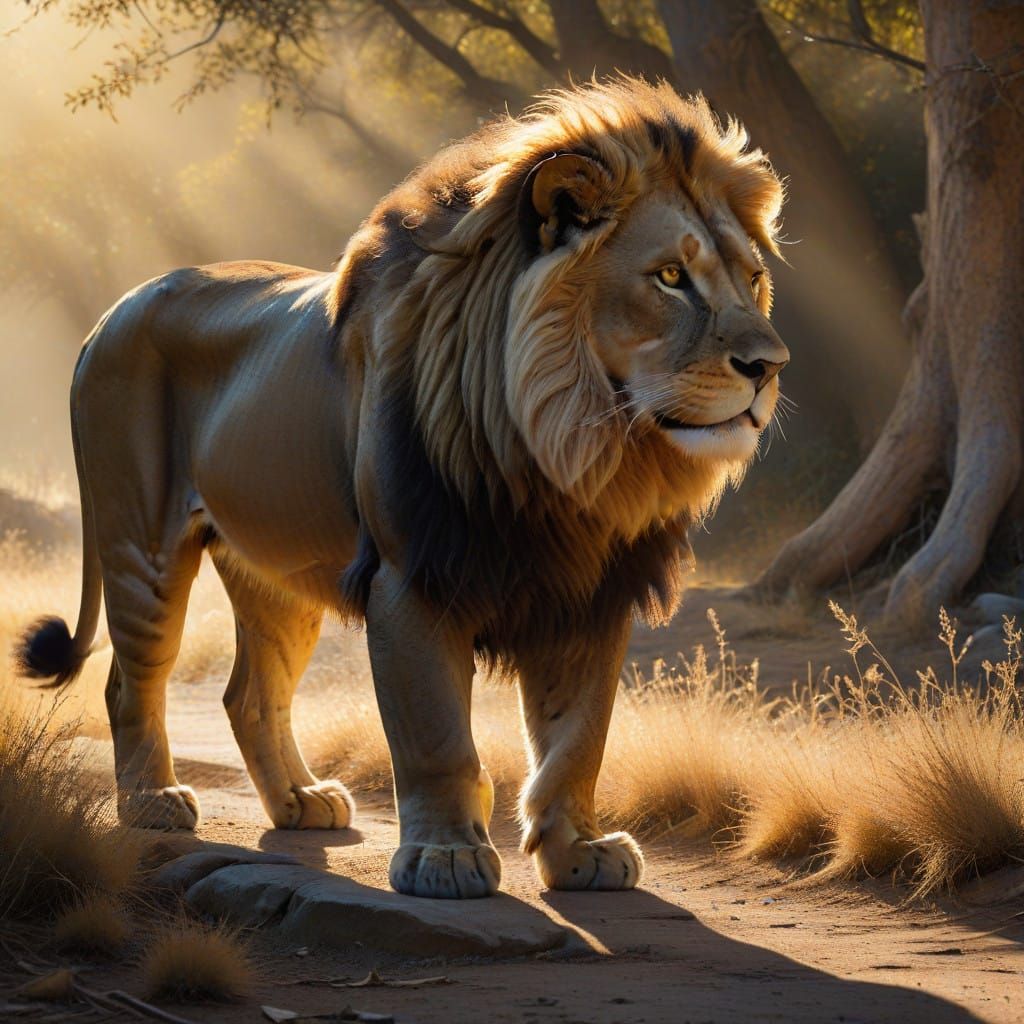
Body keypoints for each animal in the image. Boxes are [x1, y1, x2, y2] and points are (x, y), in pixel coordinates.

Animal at [18, 76, 787, 899]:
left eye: (753, 279)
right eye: (671, 277)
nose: (770, 365)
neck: (568, 454)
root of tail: (108, 316)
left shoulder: (588, 589)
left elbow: (579, 737)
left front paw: (580, 850)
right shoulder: (410, 576)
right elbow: (435, 733)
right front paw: (445, 860)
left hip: (277, 573)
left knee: (250, 694)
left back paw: (301, 801)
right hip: (142, 545)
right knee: (130, 682)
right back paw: (152, 801)